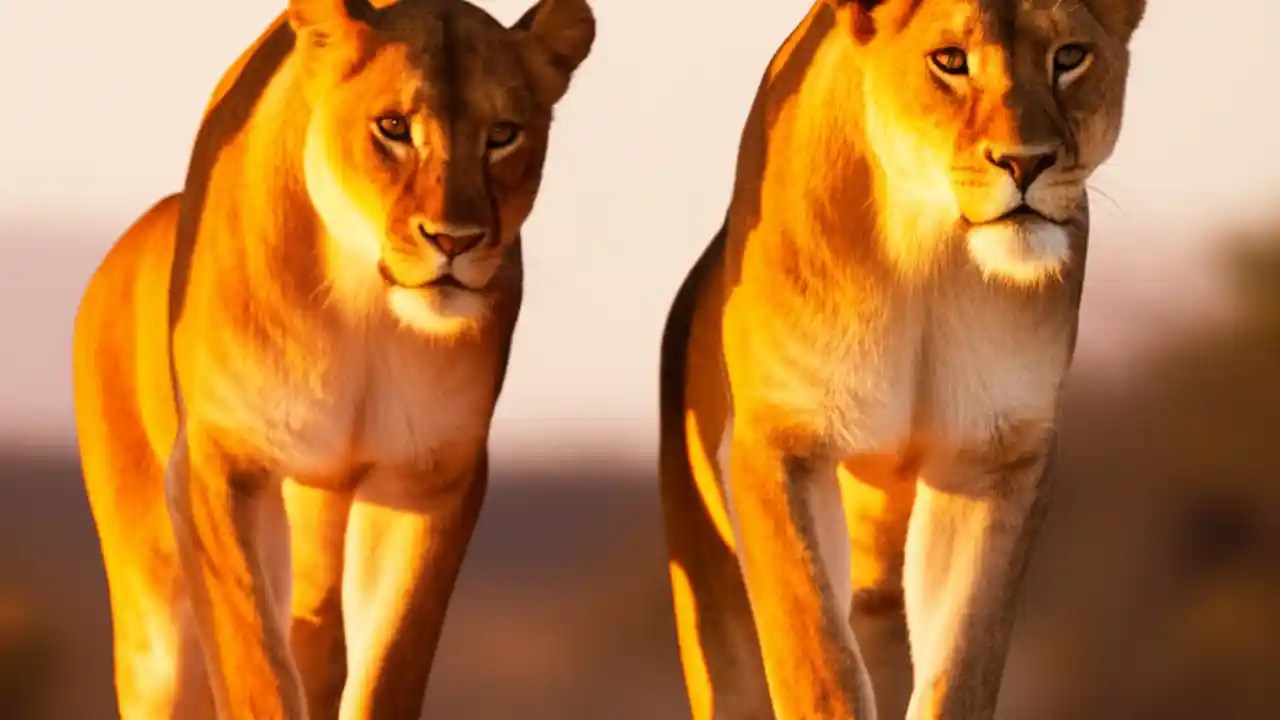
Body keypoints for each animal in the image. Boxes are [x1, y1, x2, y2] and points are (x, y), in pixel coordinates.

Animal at [71, 0, 593, 717]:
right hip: (155, 627)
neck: (360, 308)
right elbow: (255, 665)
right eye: (393, 126)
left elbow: (388, 668)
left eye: (503, 135)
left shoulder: (426, 478)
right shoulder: (219, 463)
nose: (454, 240)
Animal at [658, 1, 1145, 718]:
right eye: (950, 60)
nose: (1025, 163)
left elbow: (963, 661)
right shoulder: (776, 443)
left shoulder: (991, 457)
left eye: (1069, 57)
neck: (924, 255)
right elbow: (816, 660)